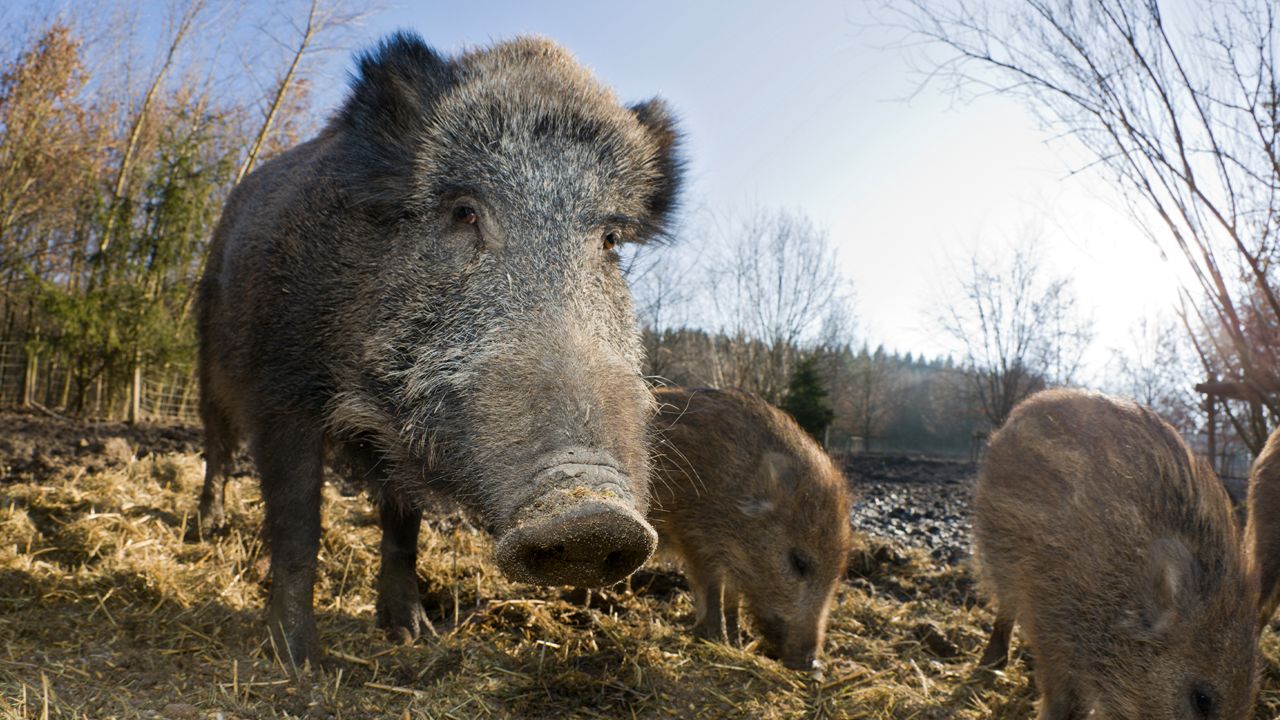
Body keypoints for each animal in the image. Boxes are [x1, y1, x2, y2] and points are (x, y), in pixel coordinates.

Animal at [195, 32, 683, 666]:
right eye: (464, 212)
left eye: (609, 240)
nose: (595, 518)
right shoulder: (283, 389)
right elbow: (299, 524)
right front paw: (298, 661)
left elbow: (404, 529)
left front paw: (411, 633)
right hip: (206, 347)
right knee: (217, 446)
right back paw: (208, 527)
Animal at [647, 386, 852, 671]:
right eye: (799, 562)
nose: (811, 665)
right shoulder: (694, 539)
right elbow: (711, 592)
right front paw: (716, 641)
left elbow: (733, 599)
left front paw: (737, 642)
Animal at [974, 389, 1259, 720]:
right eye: (1202, 699)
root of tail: (1020, 410)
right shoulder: (1047, 614)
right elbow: (1058, 692)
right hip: (995, 550)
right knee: (1004, 606)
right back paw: (990, 664)